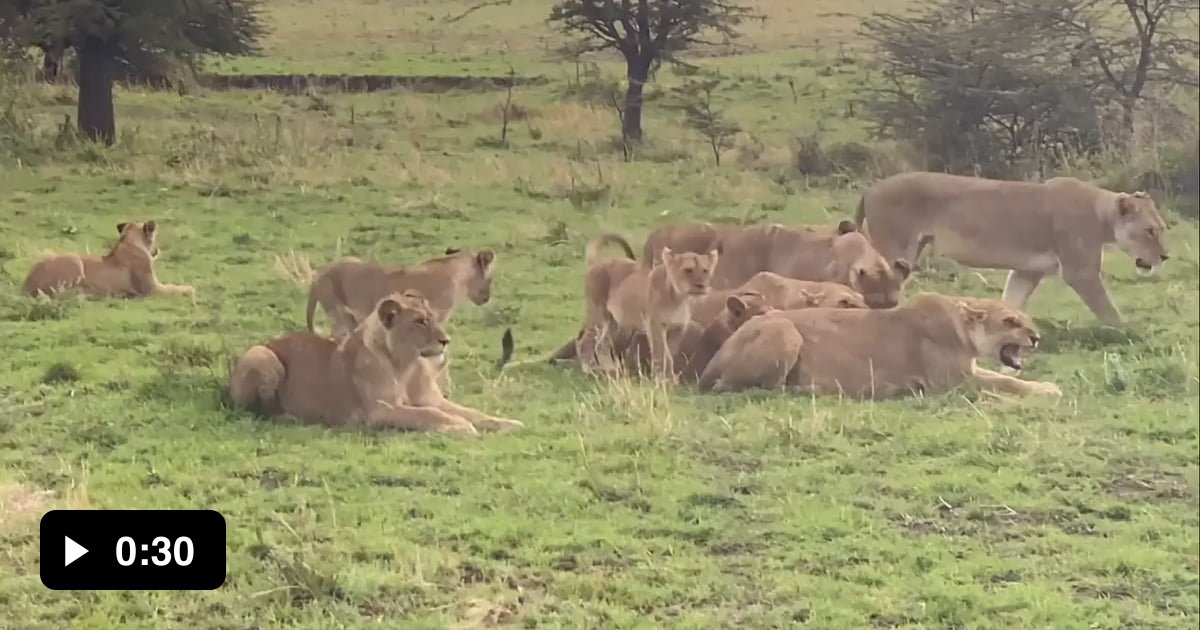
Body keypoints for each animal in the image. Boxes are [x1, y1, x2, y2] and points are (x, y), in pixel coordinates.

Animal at [21, 221, 194, 298]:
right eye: (155, 236)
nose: (158, 250)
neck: (127, 241)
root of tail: (25, 286)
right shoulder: (151, 289)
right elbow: (175, 288)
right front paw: (191, 288)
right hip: (73, 259)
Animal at [229, 290, 523, 435]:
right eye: (420, 321)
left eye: (433, 317)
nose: (445, 340)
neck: (407, 365)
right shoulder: (381, 410)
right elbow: (428, 414)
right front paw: (459, 426)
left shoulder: (432, 399)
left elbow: (472, 412)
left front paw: (507, 423)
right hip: (262, 356)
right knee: (255, 410)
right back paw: (290, 418)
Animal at [574, 233, 719, 380]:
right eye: (688, 270)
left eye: (705, 271)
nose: (701, 285)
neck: (680, 299)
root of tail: (599, 262)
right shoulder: (655, 325)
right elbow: (662, 354)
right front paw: (663, 379)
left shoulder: (677, 328)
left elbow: (670, 354)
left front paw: (668, 377)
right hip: (597, 314)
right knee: (584, 341)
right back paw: (591, 369)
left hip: (613, 321)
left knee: (602, 344)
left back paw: (611, 370)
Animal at [698, 293, 1062, 399]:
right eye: (1010, 322)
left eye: (1026, 319)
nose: (1036, 337)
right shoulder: (951, 384)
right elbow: (1003, 386)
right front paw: (1042, 394)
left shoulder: (967, 374)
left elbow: (1006, 378)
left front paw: (1046, 386)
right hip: (786, 330)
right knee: (755, 389)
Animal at [855, 172, 1170, 325]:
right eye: (1150, 231)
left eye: (1161, 228)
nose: (1165, 256)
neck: (1102, 214)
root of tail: (870, 189)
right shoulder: (1080, 271)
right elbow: (1107, 309)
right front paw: (1128, 331)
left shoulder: (1027, 271)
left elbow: (1012, 299)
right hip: (895, 251)